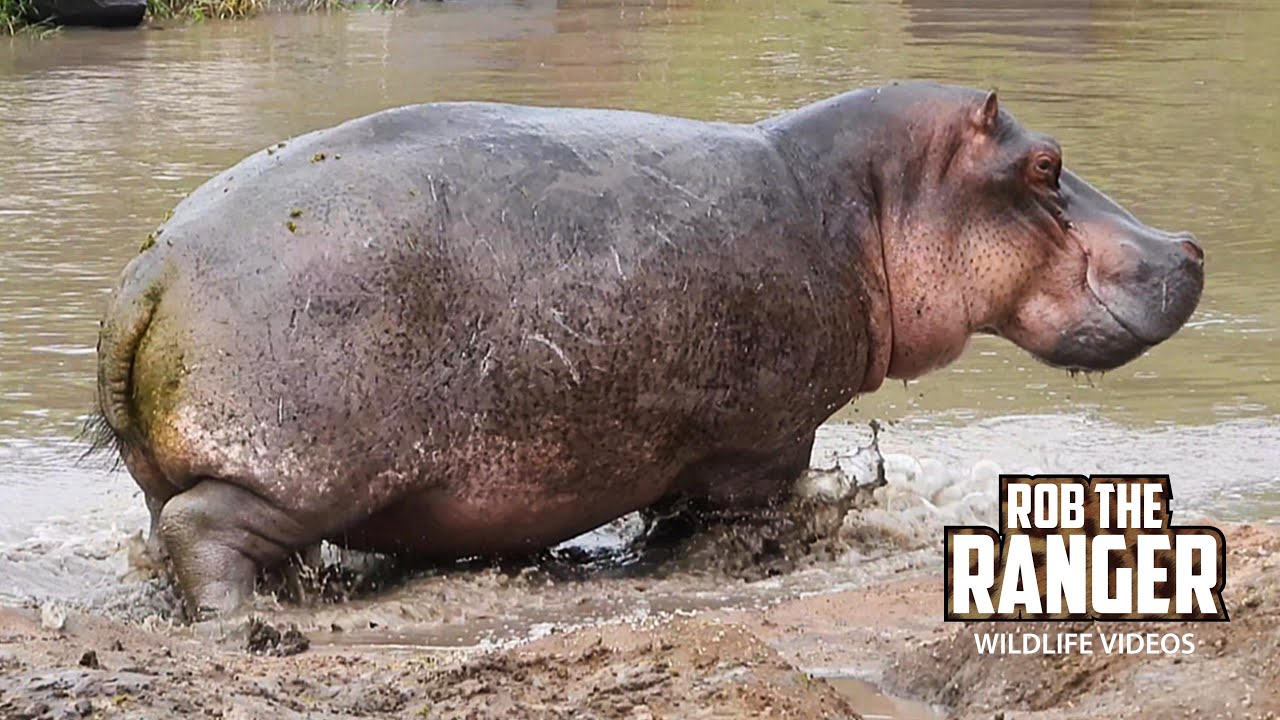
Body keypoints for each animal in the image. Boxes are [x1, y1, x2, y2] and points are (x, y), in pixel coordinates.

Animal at [92, 82, 1204, 618]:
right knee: (204, 528)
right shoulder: (763, 438)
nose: (1189, 247)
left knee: (176, 525)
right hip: (309, 470)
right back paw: (248, 620)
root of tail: (152, 271)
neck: (859, 202)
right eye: (1045, 166)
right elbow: (744, 516)